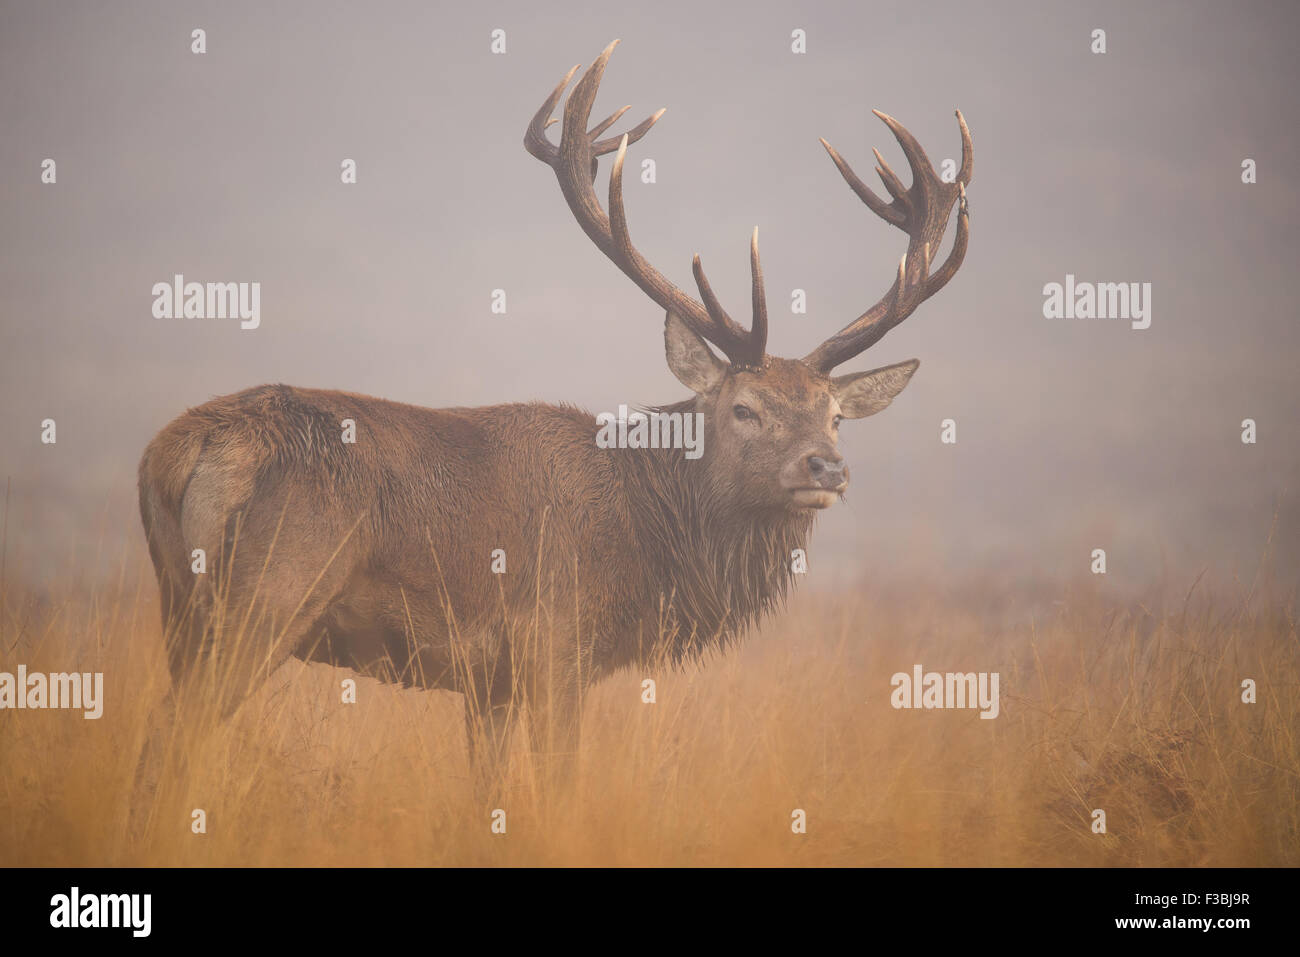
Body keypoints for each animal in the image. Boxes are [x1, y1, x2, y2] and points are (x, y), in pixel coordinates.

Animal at [133, 40, 971, 816]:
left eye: (836, 414)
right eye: (745, 408)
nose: (826, 466)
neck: (648, 541)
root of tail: (178, 452)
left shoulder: (491, 684)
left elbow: (487, 797)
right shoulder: (555, 648)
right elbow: (560, 792)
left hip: (178, 601)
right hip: (267, 595)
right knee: (175, 731)